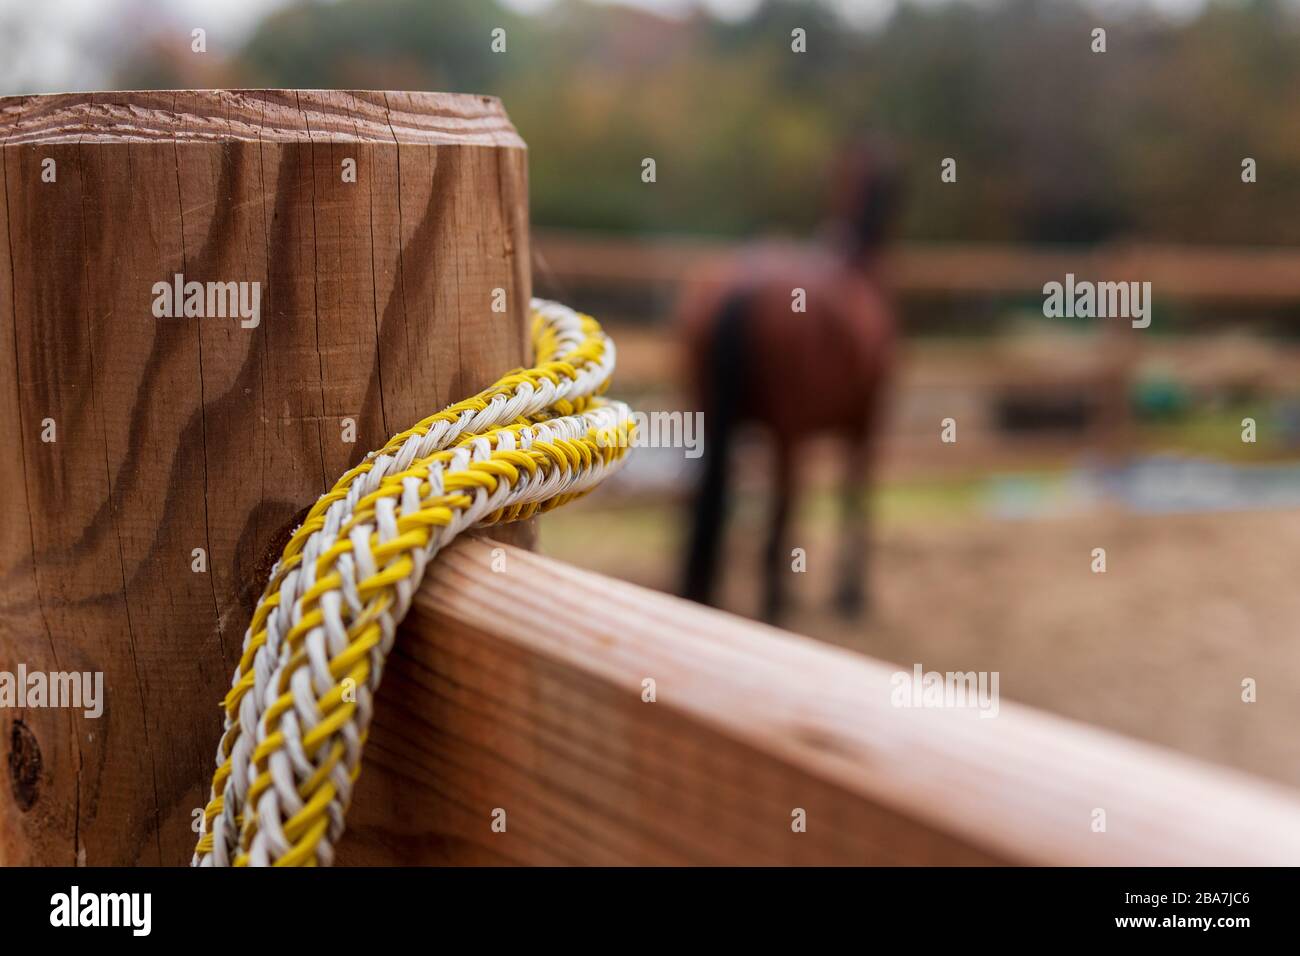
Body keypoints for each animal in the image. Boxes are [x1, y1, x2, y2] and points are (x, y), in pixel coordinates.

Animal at [678, 143, 902, 624]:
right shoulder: (866, 422)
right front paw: (850, 593)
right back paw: (773, 604)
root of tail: (745, 283)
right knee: (781, 508)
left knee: (701, 499)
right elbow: (854, 495)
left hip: (708, 416)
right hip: (790, 433)